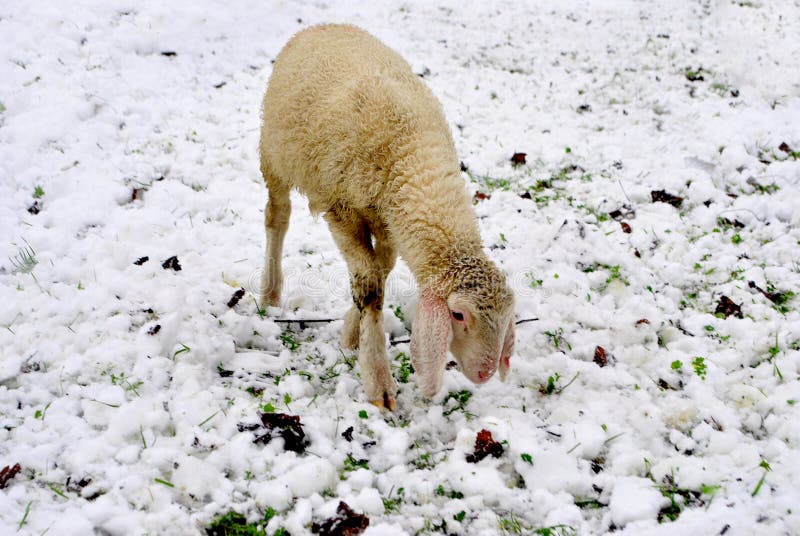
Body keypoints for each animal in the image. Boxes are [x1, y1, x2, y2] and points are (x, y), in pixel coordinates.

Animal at [259, 24, 515, 410]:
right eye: (458, 315)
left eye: (505, 318)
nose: (486, 374)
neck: (411, 155)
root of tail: (325, 25)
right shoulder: (342, 211)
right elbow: (370, 285)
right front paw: (378, 382)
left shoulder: (391, 222)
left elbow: (381, 271)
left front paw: (353, 335)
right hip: (273, 156)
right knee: (278, 217)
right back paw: (270, 294)